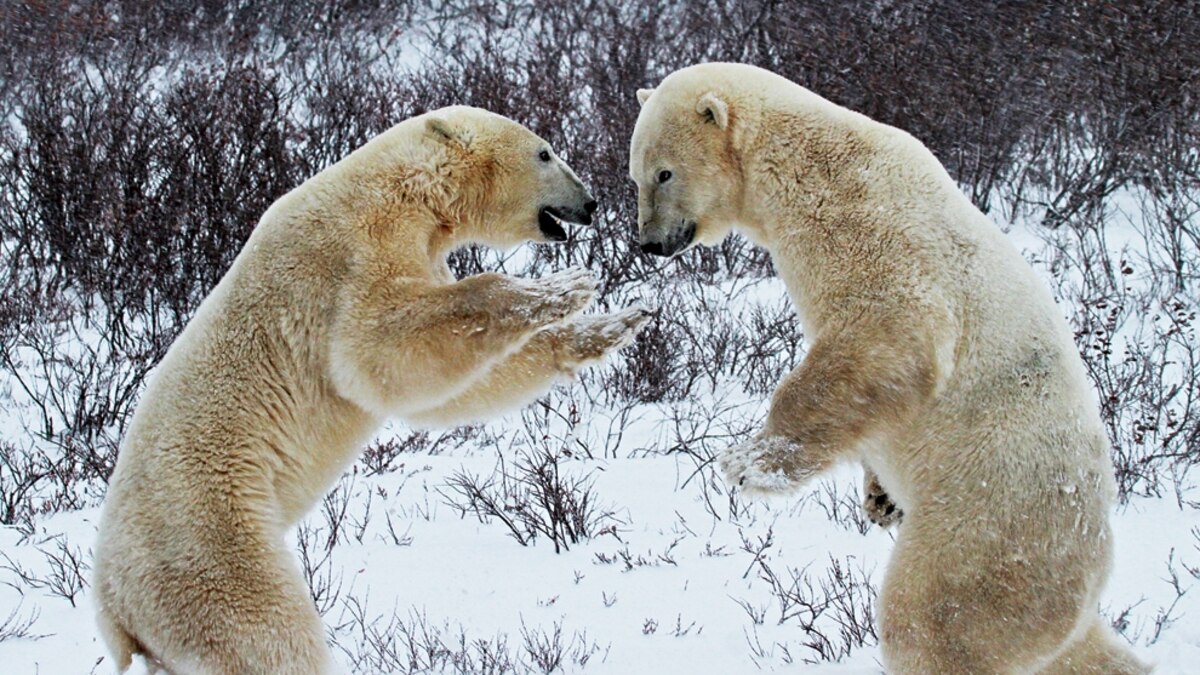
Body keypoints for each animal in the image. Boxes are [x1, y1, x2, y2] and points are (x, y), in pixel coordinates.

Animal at [93, 105, 649, 674]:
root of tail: (115, 610)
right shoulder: (349, 256)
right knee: (269, 635)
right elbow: (375, 350)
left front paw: (612, 325)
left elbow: (455, 388)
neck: (397, 191)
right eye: (544, 152)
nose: (590, 202)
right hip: (211, 544)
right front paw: (563, 287)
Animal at [629, 63, 1146, 674]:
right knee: (1076, 649)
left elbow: (891, 331)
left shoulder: (867, 221)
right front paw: (878, 497)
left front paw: (749, 463)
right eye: (635, 175)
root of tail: (1095, 554)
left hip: (986, 529)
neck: (799, 159)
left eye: (663, 172)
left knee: (936, 620)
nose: (649, 242)